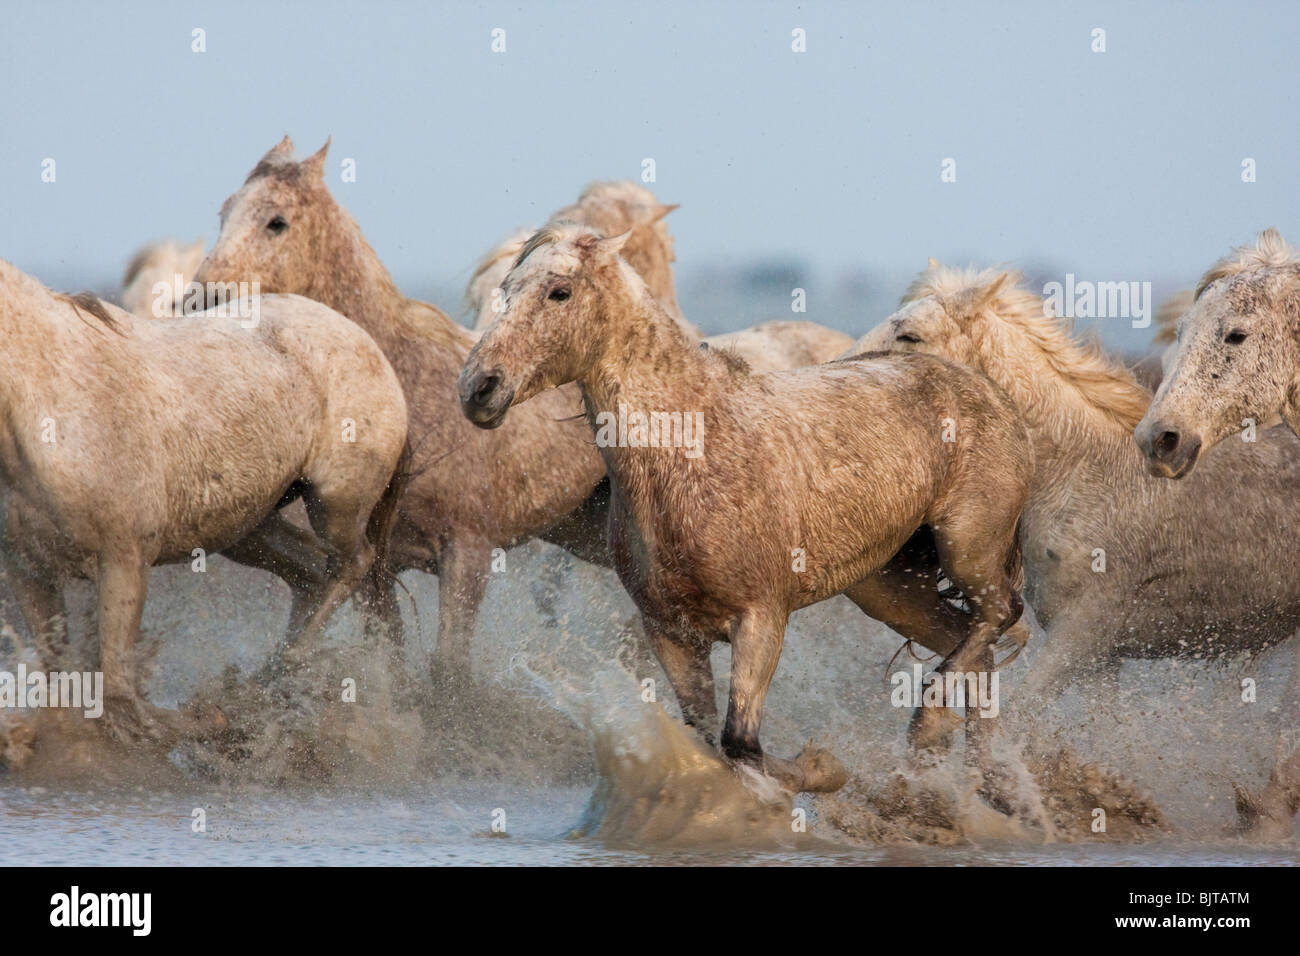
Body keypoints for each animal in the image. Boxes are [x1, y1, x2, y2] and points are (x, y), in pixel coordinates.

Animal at [0, 257, 408, 743]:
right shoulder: (30, 571)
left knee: (352, 563)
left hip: (335, 505)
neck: (46, 399)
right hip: (249, 529)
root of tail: (369, 345)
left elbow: (117, 692)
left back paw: (280, 671)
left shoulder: (123, 558)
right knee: (310, 574)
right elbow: (60, 677)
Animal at [458, 224, 1035, 792]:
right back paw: (980, 784)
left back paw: (933, 730)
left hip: (967, 549)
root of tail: (985, 388)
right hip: (887, 587)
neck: (691, 453)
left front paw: (820, 769)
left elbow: (741, 742)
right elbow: (710, 741)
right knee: (971, 644)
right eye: (505, 290)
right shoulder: (671, 634)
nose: (478, 389)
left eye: (560, 292)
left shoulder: (760, 620)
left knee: (1000, 615)